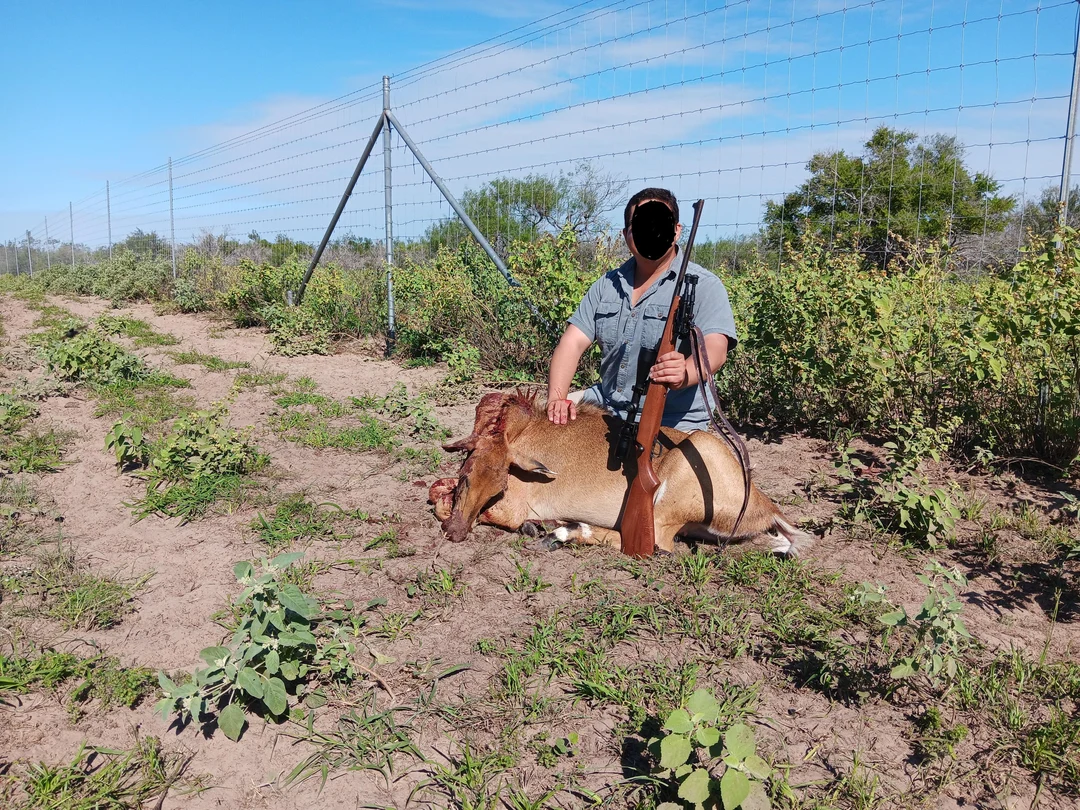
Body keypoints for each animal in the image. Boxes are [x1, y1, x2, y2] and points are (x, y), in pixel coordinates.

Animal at [428, 390, 812, 557]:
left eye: (499, 484)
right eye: (467, 470)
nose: (456, 533)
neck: (523, 433)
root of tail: (766, 507)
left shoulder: (512, 506)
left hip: (670, 496)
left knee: (655, 545)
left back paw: (564, 532)